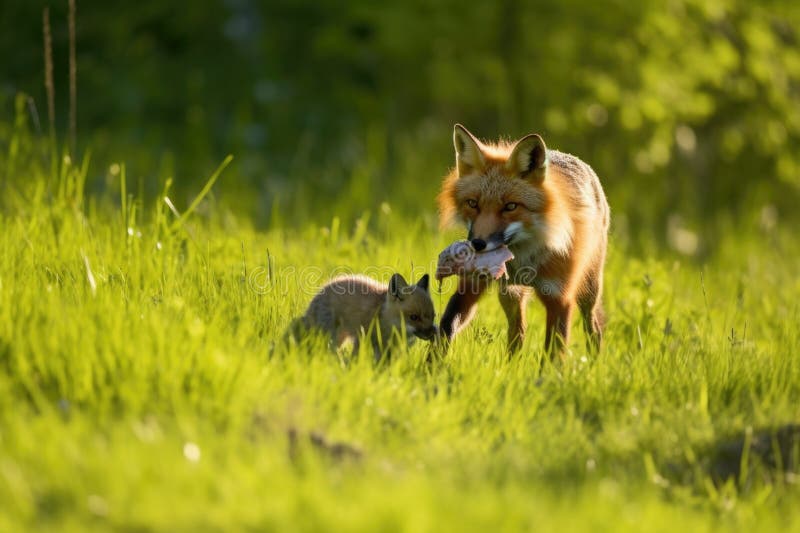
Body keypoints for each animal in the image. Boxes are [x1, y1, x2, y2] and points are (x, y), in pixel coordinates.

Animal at [288, 273, 437, 362]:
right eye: (414, 317)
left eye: (433, 316)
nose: (433, 333)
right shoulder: (363, 339)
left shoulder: (389, 349)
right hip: (328, 336)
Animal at [437, 124, 610, 359]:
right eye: (473, 204)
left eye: (510, 206)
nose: (478, 244)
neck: (522, 260)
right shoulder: (472, 285)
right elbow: (447, 325)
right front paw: (430, 365)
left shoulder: (559, 297)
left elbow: (553, 356)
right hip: (510, 295)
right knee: (517, 332)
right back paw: (511, 364)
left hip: (589, 289)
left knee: (593, 327)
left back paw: (593, 362)